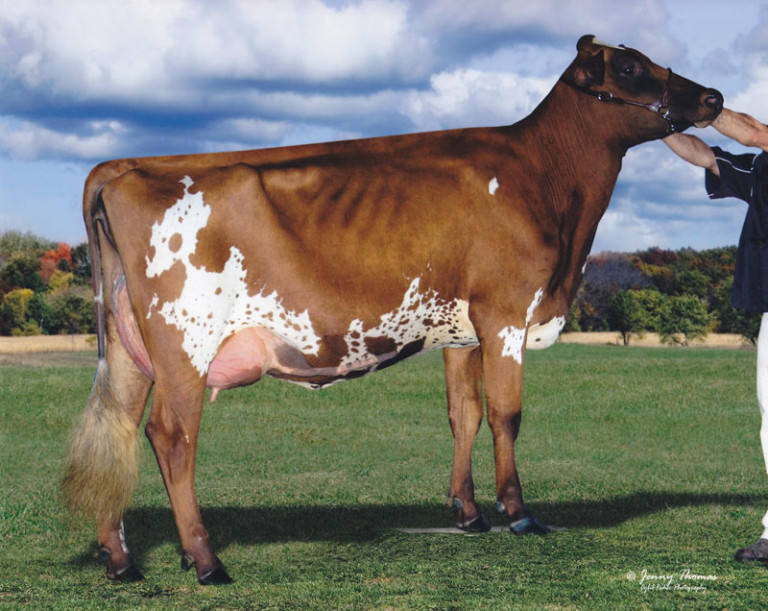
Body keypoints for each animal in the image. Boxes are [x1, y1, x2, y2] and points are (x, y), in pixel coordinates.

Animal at [62, 35, 722, 585]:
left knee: (120, 428)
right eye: (631, 68)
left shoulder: (463, 331)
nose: (713, 97)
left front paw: (468, 513)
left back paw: (120, 561)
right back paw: (205, 560)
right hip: (186, 343)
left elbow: (464, 414)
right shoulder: (507, 313)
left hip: (129, 351)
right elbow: (506, 414)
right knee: (172, 435)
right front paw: (519, 513)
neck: (545, 182)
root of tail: (124, 169)